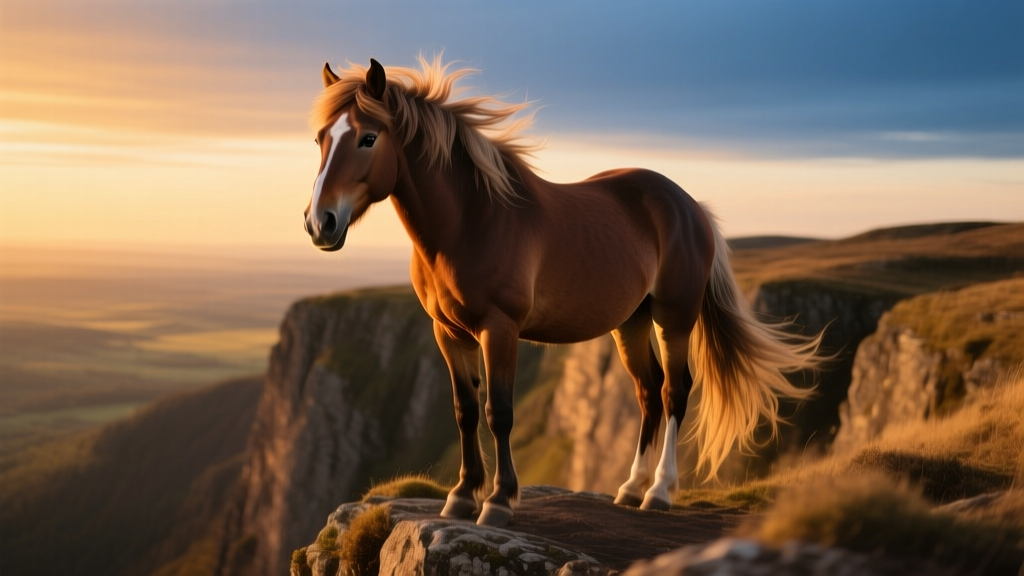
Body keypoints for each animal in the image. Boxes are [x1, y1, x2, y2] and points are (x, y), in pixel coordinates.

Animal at [304, 56, 821, 527]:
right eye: (321, 139)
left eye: (368, 138)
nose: (319, 223)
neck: (471, 222)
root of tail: (690, 205)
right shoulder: (447, 333)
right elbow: (465, 410)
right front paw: (462, 496)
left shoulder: (499, 330)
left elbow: (498, 412)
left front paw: (498, 501)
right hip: (631, 323)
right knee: (648, 392)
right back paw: (630, 488)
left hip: (673, 317)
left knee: (674, 391)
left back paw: (659, 492)